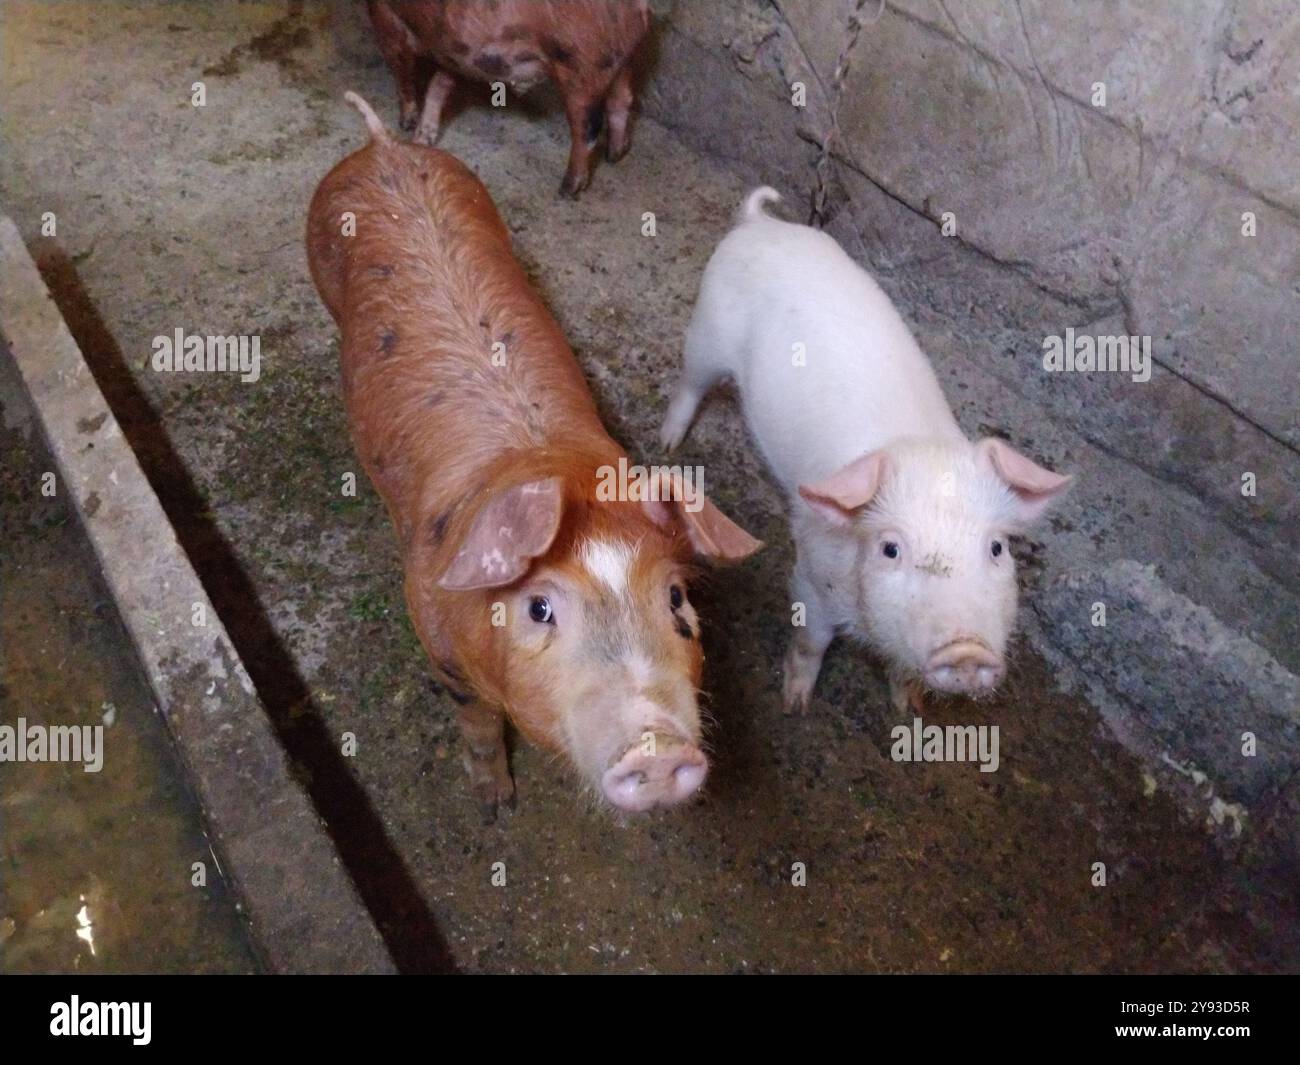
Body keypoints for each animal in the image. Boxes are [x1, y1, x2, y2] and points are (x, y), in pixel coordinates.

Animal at [306, 93, 761, 816]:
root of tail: (384, 146)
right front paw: (497, 807)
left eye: (677, 599)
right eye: (538, 607)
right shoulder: (437, 641)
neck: (553, 467)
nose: (659, 750)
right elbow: (477, 723)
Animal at [365, 0, 650, 197]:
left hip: (580, 67)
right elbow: (439, 83)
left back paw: (567, 189)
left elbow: (402, 72)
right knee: (622, 99)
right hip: (623, 63)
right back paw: (615, 155)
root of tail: (637, 8)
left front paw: (406, 124)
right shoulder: (454, 53)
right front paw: (422, 140)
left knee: (588, 127)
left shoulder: (385, 16)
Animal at [660, 187, 1072, 715]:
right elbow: (811, 640)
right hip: (706, 333)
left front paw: (908, 709)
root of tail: (760, 224)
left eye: (997, 547)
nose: (967, 651)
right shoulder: (812, 574)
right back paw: (669, 443)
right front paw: (796, 705)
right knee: (690, 383)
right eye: (890, 548)